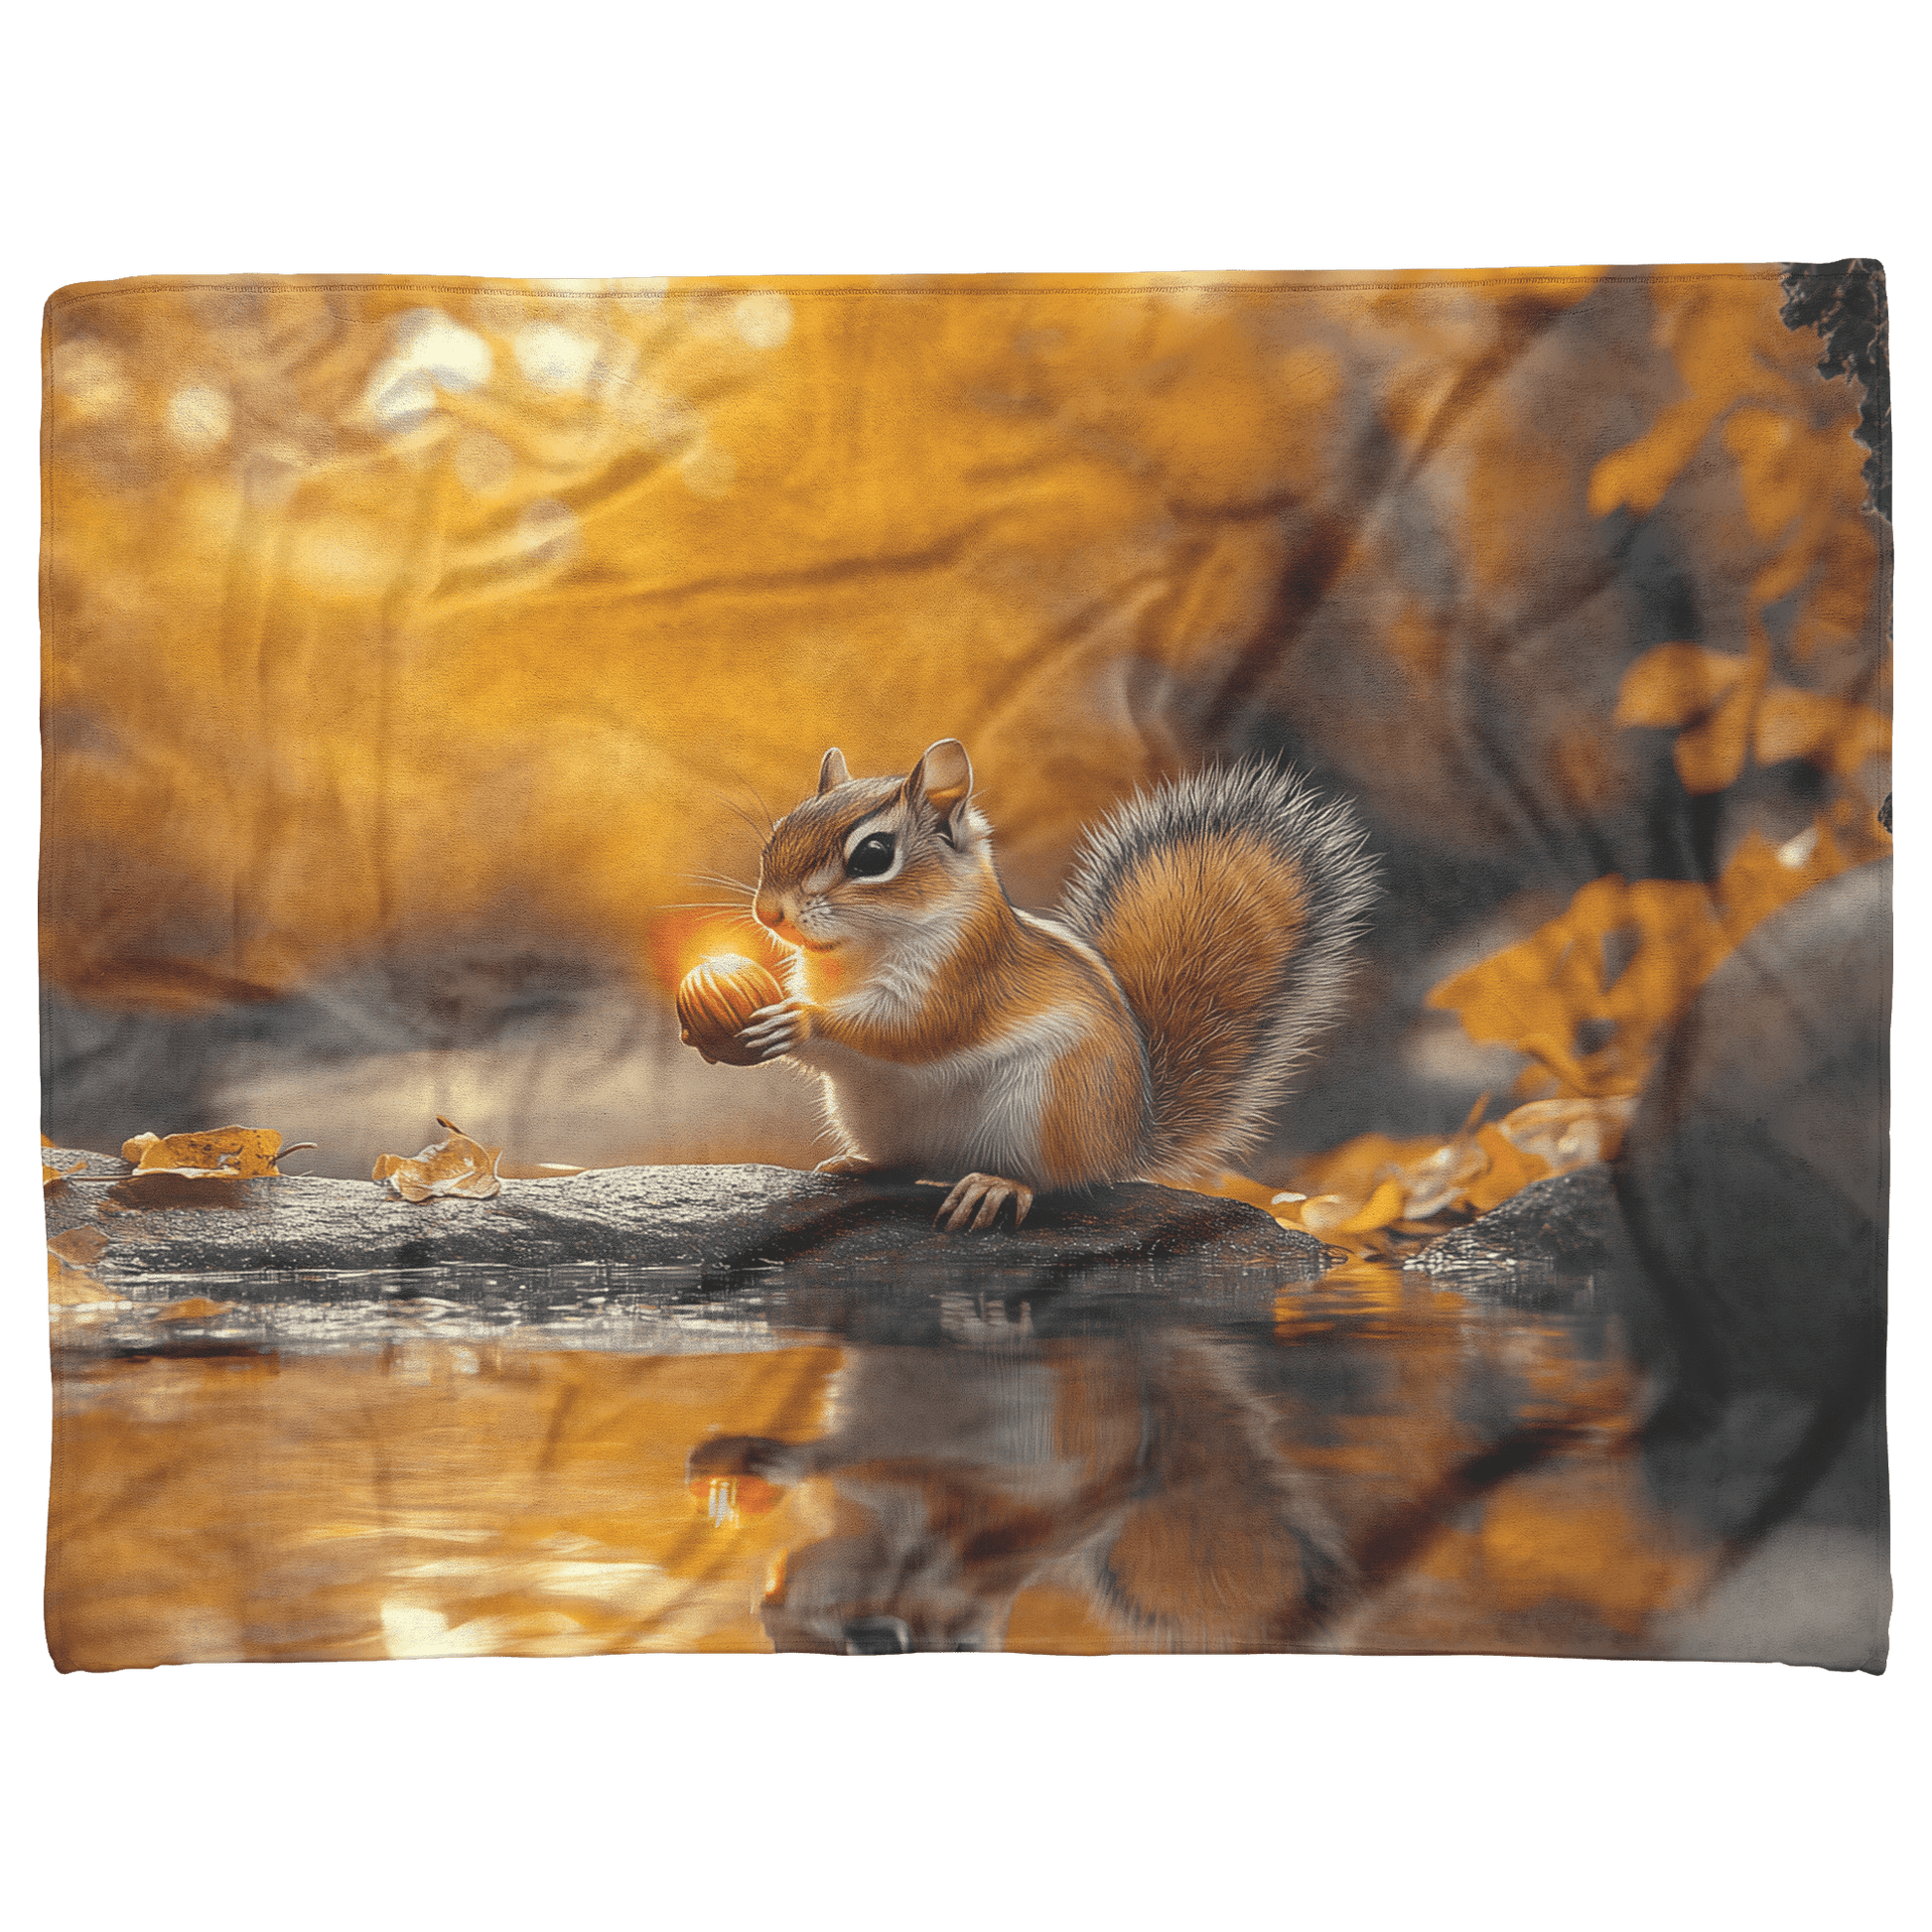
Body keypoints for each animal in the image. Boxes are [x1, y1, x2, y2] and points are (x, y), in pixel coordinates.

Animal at [705, 739, 1378, 1231]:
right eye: (779, 830)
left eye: (872, 856)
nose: (769, 913)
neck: (857, 954)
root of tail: (1125, 1142)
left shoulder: (965, 976)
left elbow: (911, 1029)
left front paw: (800, 1019)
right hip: (873, 1112)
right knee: (911, 1164)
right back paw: (861, 1166)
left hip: (1047, 1106)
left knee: (1052, 1181)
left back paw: (996, 1185)